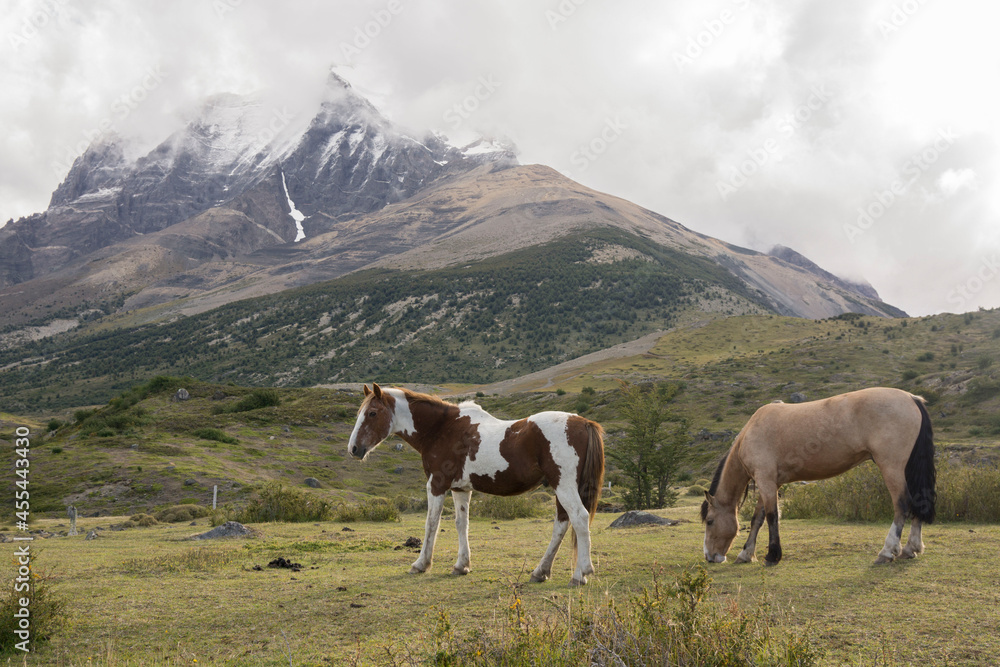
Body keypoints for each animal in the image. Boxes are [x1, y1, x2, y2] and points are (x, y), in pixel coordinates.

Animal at [348, 383, 605, 586]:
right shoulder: (460, 489)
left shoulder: (437, 485)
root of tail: (583, 422)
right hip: (560, 488)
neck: (443, 428)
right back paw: (540, 571)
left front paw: (421, 564)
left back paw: (580, 573)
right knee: (562, 523)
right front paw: (461, 565)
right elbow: (462, 524)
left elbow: (431, 524)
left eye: (372, 413)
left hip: (564, 486)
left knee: (579, 518)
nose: (354, 449)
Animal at [701, 387, 936, 566]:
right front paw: (746, 554)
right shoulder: (769, 482)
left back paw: (887, 552)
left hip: (891, 467)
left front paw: (772, 555)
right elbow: (757, 518)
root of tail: (911, 397)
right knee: (919, 501)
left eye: (710, 521)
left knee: (902, 504)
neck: (751, 432)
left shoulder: (765, 480)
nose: (710, 557)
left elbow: (771, 516)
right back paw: (911, 549)